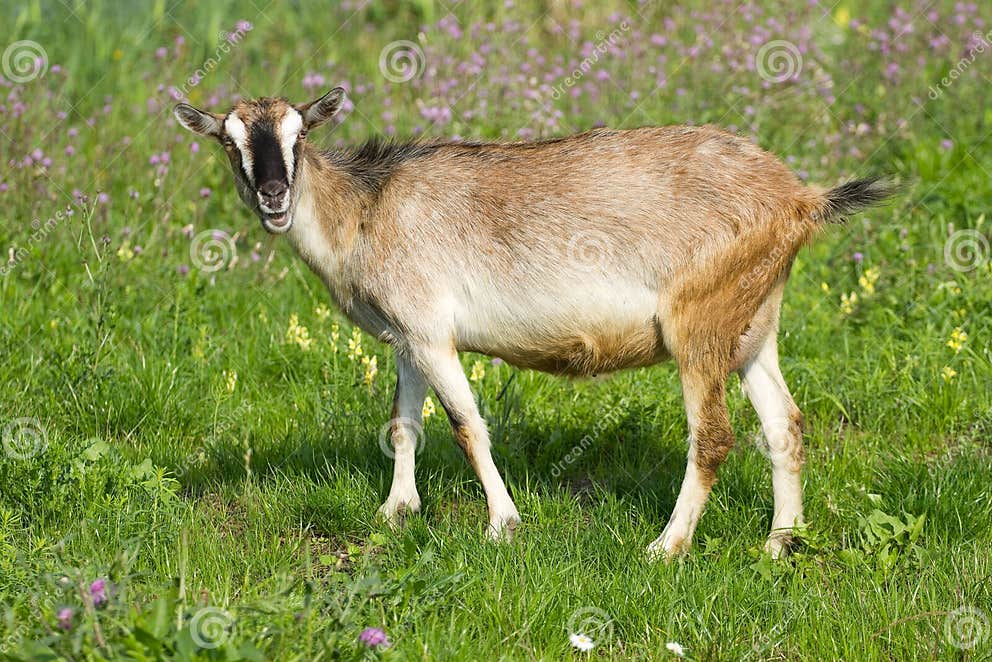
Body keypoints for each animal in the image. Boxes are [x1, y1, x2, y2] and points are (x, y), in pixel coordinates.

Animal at [174, 87, 895, 558]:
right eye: (229, 142)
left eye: (300, 135)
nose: (273, 196)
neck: (367, 208)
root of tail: (799, 197)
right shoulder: (409, 337)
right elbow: (404, 423)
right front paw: (395, 512)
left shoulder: (432, 332)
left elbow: (467, 426)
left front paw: (503, 525)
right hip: (753, 329)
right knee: (784, 424)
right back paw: (780, 542)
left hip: (699, 326)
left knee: (714, 437)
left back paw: (666, 547)